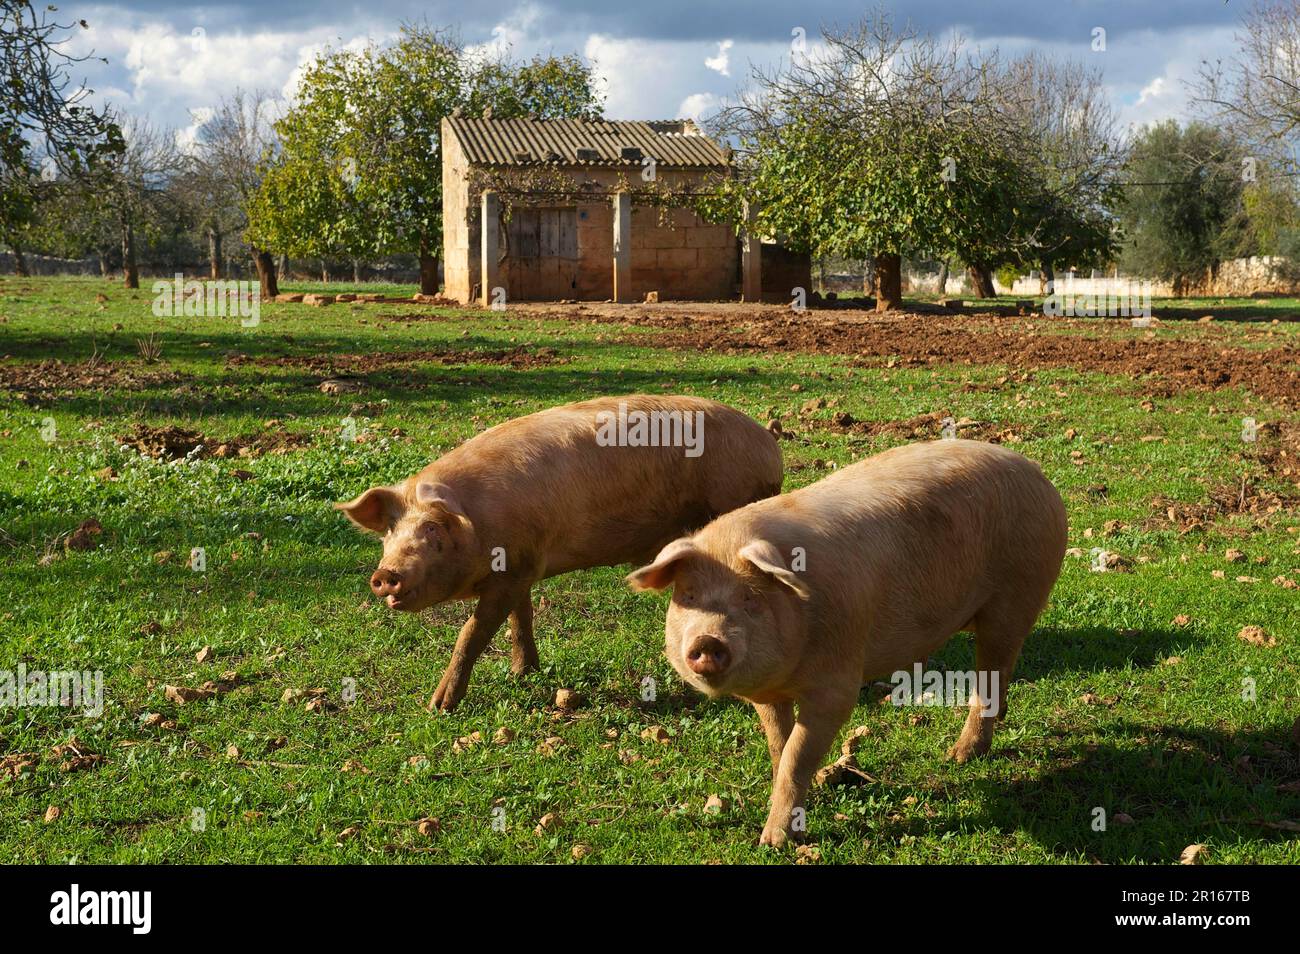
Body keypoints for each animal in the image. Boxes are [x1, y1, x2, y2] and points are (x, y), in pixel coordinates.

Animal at [337, 394, 782, 712]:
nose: (386, 574)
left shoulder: (511, 572)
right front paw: (523, 673)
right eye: (390, 531)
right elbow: (521, 618)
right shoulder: (523, 566)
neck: (479, 523)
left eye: (431, 528)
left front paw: (438, 707)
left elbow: (472, 631)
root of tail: (769, 445)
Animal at [627, 439, 1067, 847]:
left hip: (1017, 596)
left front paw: (774, 842)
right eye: (688, 595)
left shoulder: (837, 684)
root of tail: (1034, 471)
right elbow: (779, 745)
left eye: (750, 598)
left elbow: (797, 755)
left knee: (993, 669)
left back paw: (957, 756)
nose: (707, 639)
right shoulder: (768, 693)